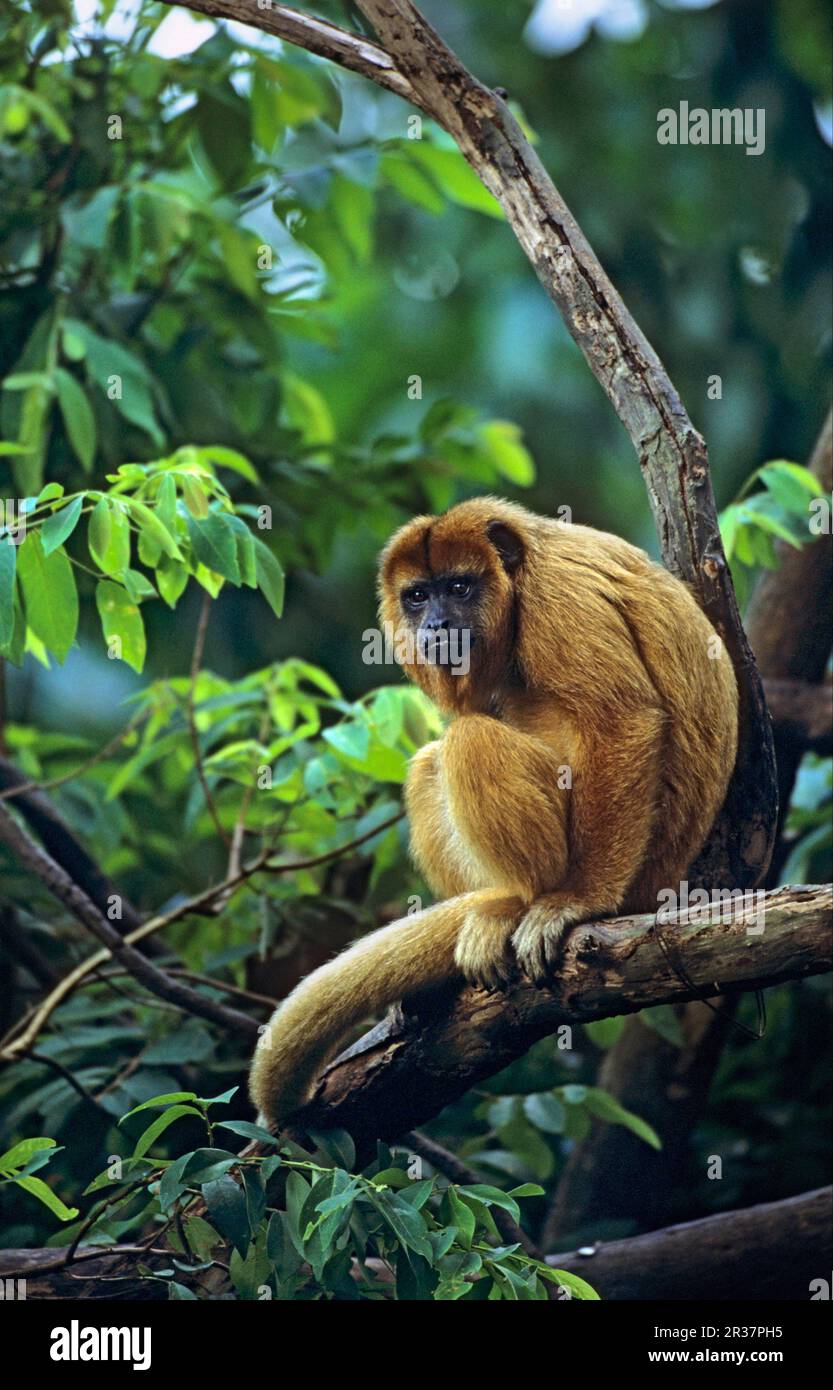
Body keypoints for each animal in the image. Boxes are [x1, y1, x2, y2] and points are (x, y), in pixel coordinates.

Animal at [249, 496, 738, 1128]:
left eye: (459, 587)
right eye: (417, 596)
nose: (434, 625)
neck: (518, 579)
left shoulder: (561, 600)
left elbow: (622, 719)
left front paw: (579, 901)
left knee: (468, 742)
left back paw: (519, 902)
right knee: (429, 761)